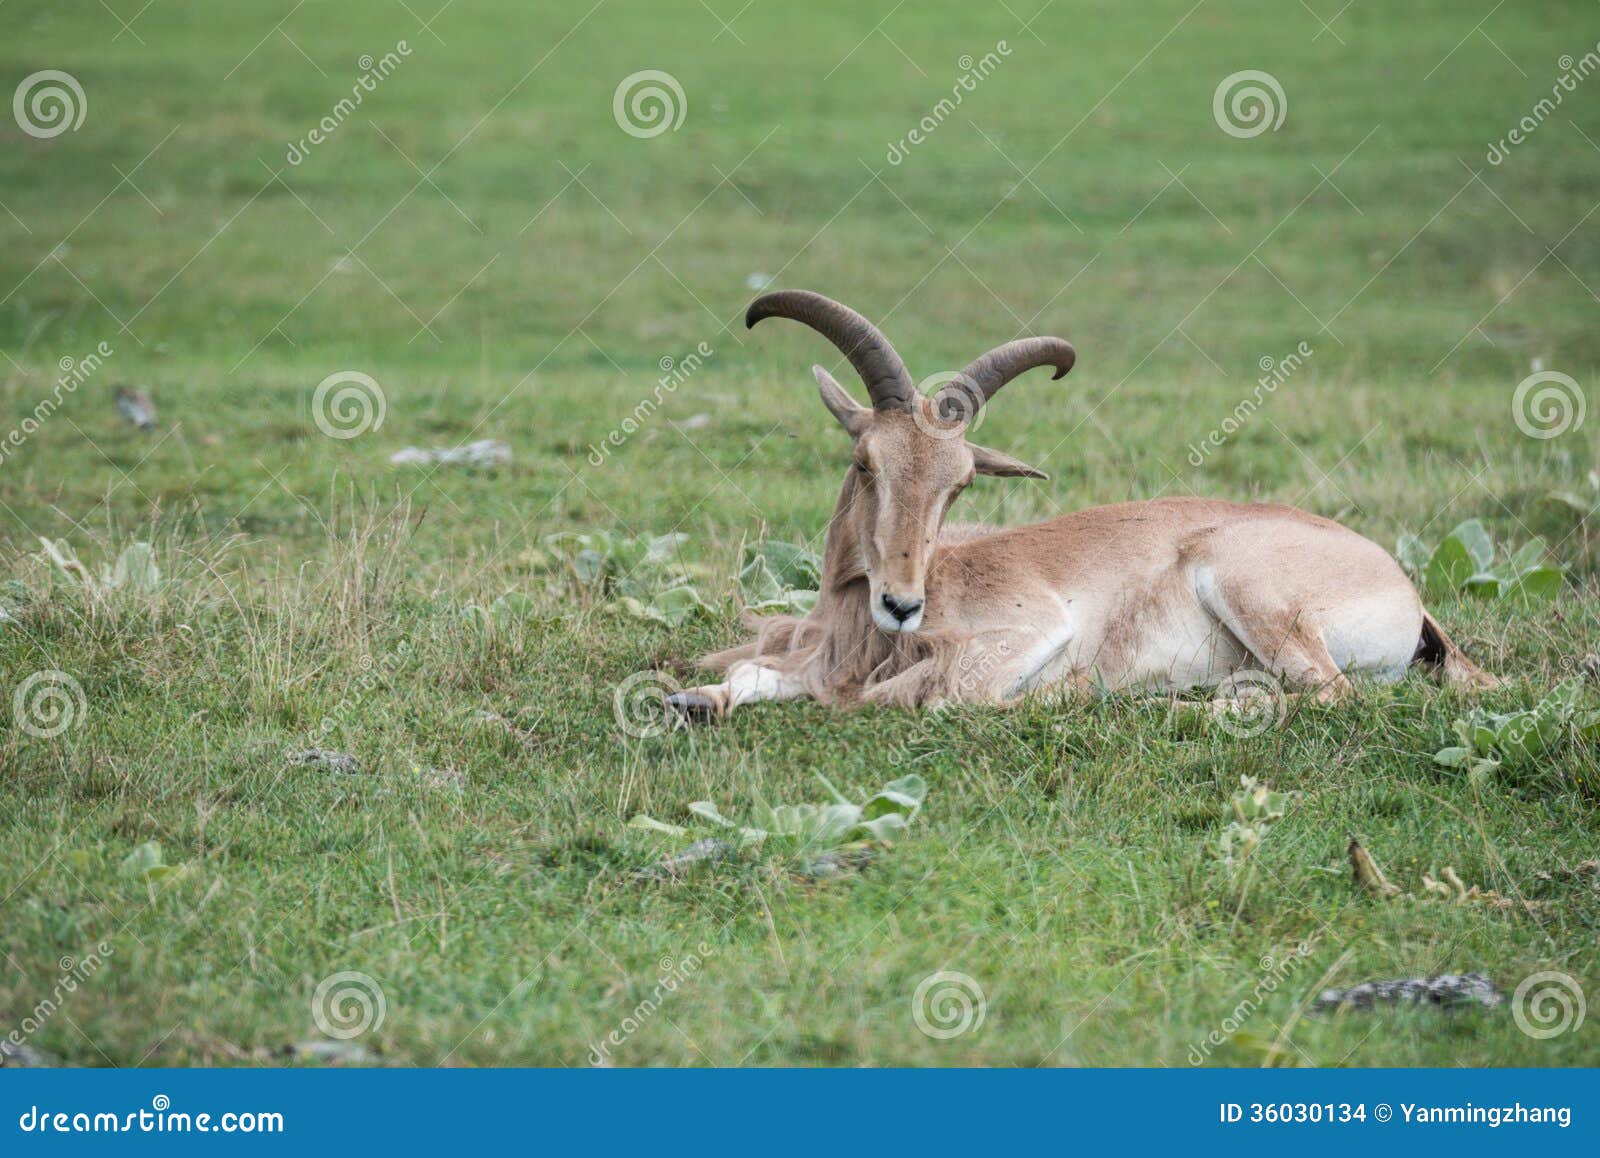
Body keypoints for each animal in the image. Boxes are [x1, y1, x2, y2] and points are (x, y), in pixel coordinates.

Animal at [666, 290, 1496, 720]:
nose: (902, 604)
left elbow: (932, 698)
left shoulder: (1031, 629)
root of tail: (1405, 590)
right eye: (864, 461)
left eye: (960, 483)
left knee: (1326, 693)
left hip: (1246, 583)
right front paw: (693, 699)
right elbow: (754, 675)